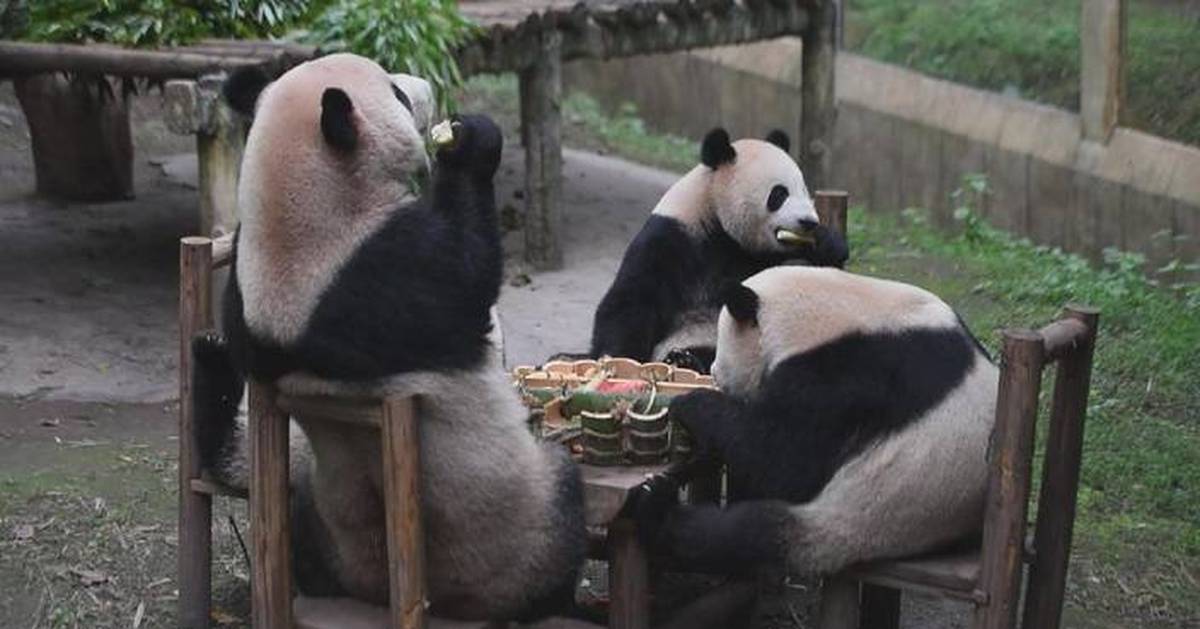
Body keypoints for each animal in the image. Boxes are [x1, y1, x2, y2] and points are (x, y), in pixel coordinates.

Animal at [191, 53, 586, 623]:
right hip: (513, 527)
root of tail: (379, 590)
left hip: (321, 509)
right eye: (397, 94)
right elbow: (469, 273)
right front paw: (470, 144)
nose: (427, 85)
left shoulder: (246, 300)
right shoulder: (391, 280)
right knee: (562, 508)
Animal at [587, 128, 849, 372]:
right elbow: (634, 299)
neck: (720, 225)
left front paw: (827, 243)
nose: (809, 222)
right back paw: (684, 360)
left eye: (804, 190)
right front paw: (616, 356)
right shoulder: (672, 238)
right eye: (779, 194)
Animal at [623, 266, 998, 575]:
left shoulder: (846, 379)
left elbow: (785, 460)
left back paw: (657, 504)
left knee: (741, 536)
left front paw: (694, 401)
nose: (716, 374)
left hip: (859, 515)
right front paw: (685, 360)